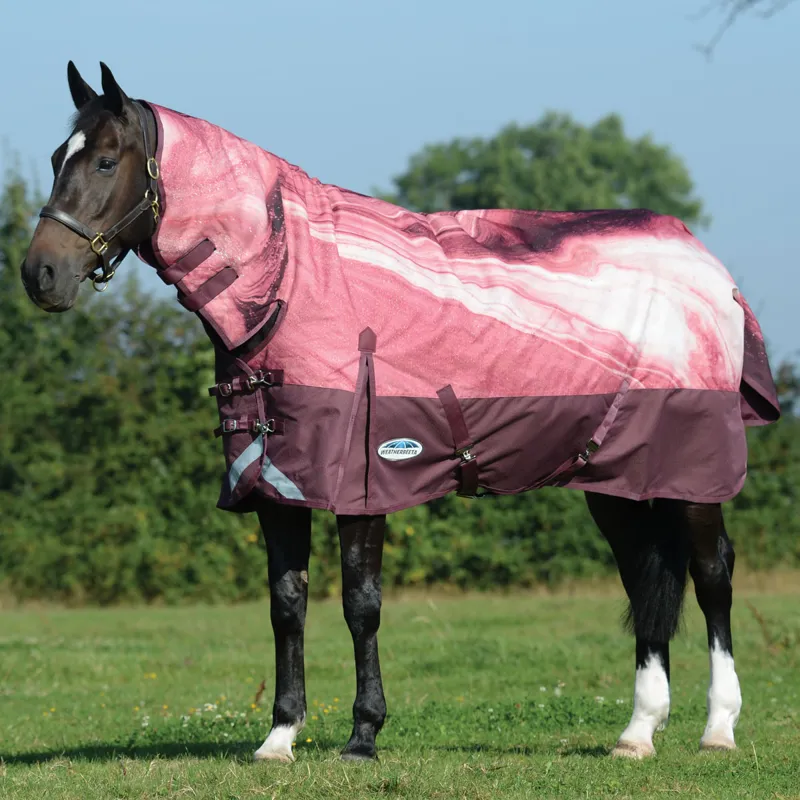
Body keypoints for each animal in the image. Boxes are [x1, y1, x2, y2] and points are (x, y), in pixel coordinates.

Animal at [21, 61, 781, 763]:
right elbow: (287, 603)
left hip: (691, 474)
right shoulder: (274, 483)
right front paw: (280, 736)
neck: (293, 285)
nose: (40, 275)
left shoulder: (365, 482)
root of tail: (710, 271)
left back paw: (718, 728)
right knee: (645, 574)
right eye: (58, 158)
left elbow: (361, 604)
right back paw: (637, 733)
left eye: (106, 160)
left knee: (712, 574)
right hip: (615, 479)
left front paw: (363, 734)